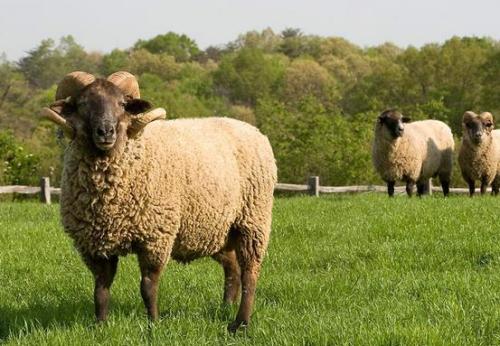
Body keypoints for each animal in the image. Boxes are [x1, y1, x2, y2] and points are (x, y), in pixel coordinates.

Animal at [40, 71, 278, 332]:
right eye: (83, 104)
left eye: (122, 104)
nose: (106, 132)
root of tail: (253, 129)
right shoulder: (94, 244)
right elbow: (100, 290)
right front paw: (100, 326)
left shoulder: (155, 235)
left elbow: (148, 286)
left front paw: (153, 324)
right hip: (216, 230)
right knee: (232, 267)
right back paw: (226, 307)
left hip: (252, 221)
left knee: (250, 273)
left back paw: (240, 323)